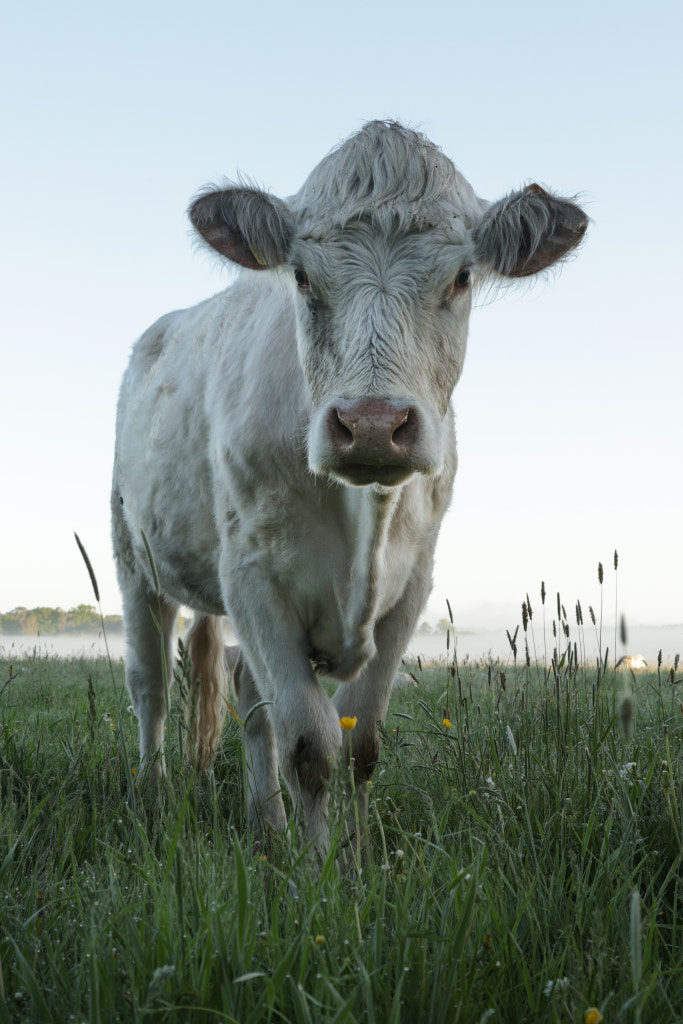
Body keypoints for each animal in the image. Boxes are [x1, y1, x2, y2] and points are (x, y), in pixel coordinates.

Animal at [112, 121, 587, 852]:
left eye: (462, 276)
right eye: (302, 275)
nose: (370, 425)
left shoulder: (409, 588)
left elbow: (360, 741)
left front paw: (355, 863)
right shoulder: (252, 579)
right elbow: (309, 744)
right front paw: (317, 872)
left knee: (242, 689)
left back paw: (266, 827)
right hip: (135, 557)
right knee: (152, 686)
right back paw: (155, 797)